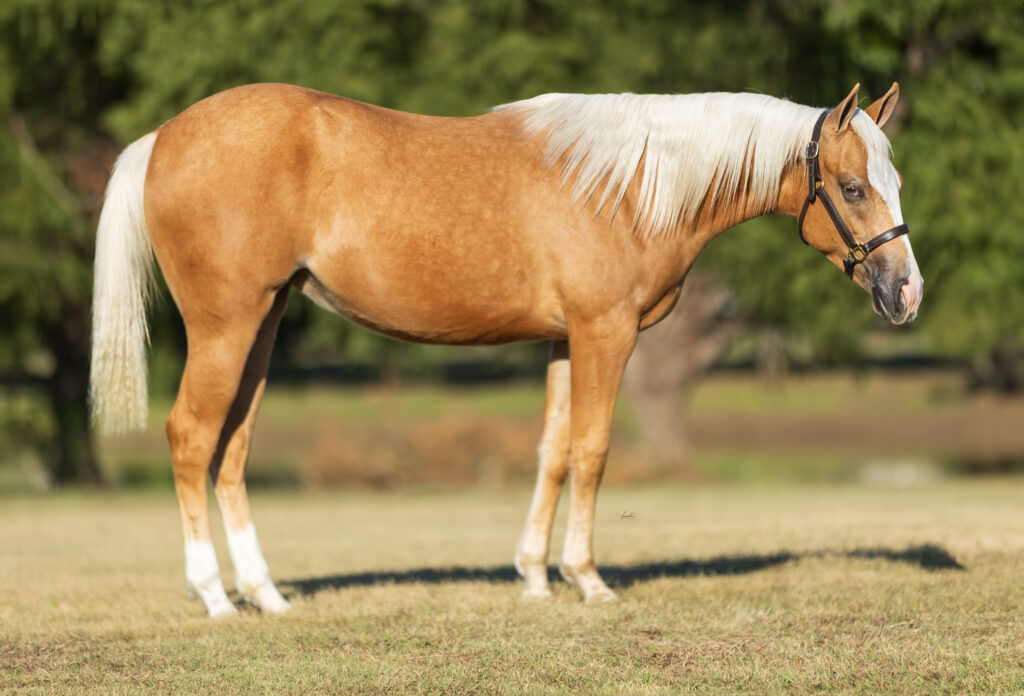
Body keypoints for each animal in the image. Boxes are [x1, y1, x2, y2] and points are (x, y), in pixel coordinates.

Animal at [90, 81, 922, 617]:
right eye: (852, 187)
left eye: (897, 180)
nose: (907, 292)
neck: (631, 183)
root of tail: (163, 138)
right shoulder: (603, 332)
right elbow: (591, 449)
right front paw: (586, 579)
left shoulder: (563, 338)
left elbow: (551, 450)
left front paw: (533, 576)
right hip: (225, 326)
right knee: (191, 437)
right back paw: (213, 596)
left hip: (261, 324)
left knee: (231, 447)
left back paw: (264, 594)